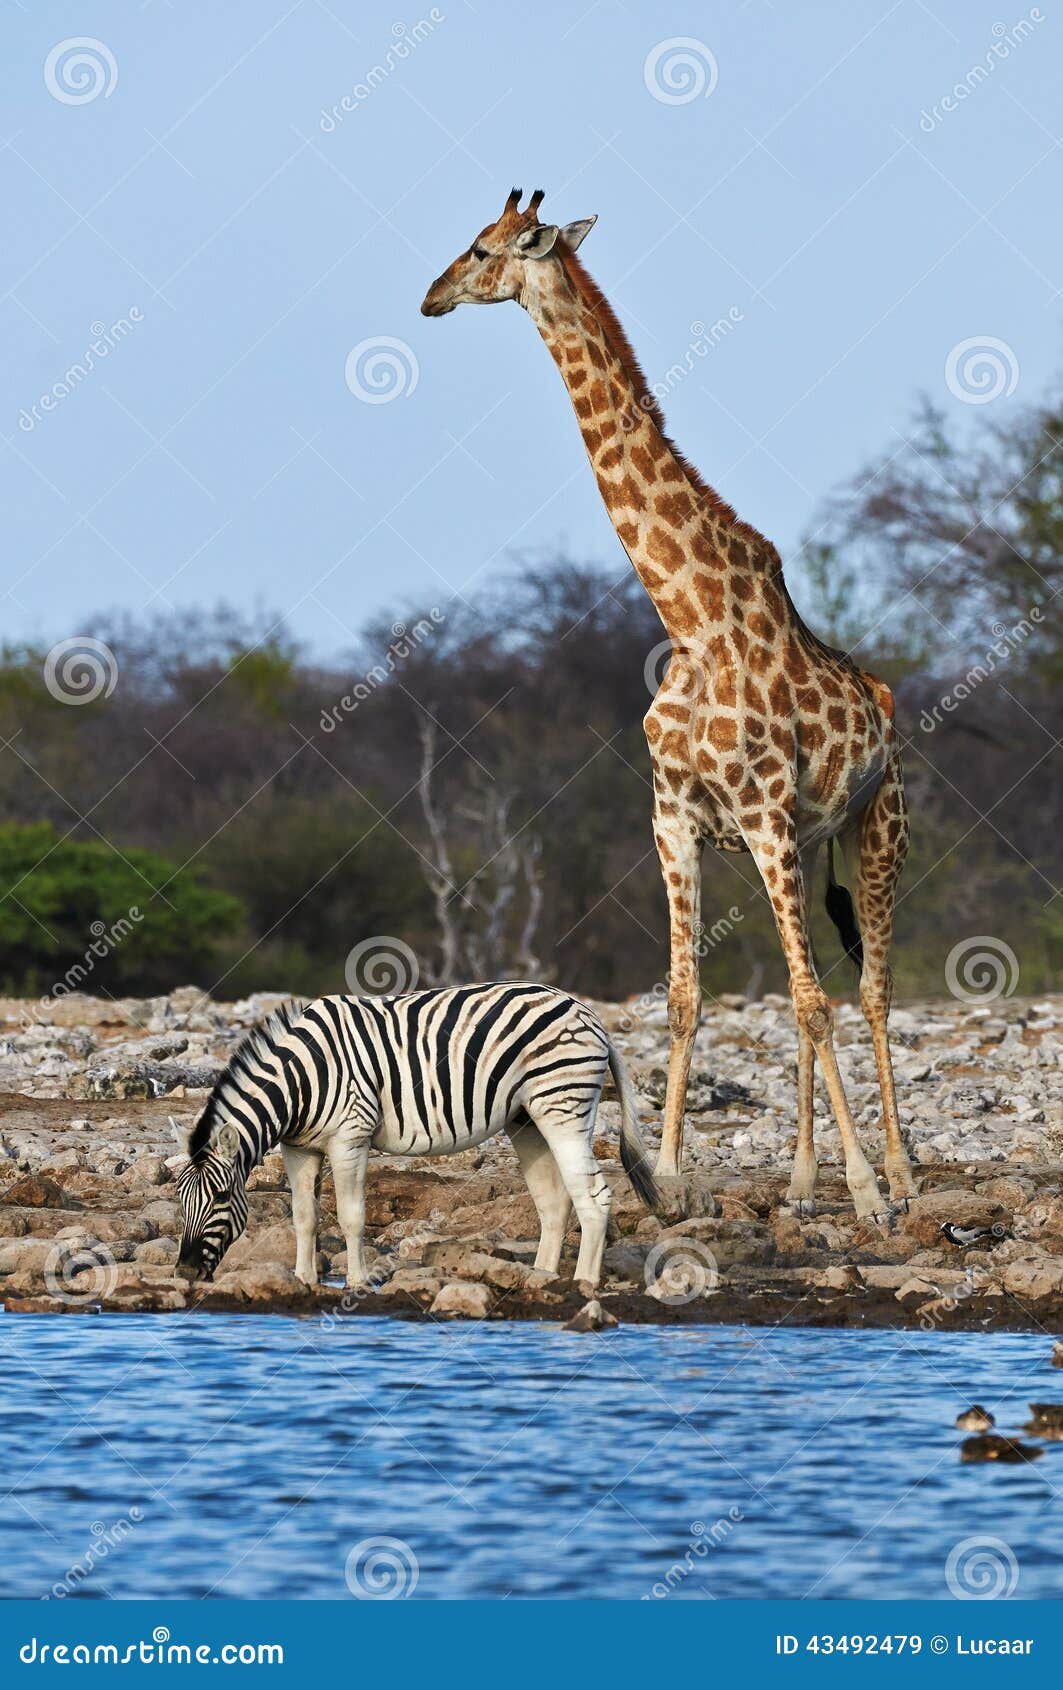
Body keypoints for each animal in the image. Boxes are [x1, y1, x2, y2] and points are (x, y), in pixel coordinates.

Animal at [173, 983, 659, 1290]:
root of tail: (585, 1009)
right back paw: (540, 1278)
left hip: (563, 1105)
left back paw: (585, 1283)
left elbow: (351, 1215)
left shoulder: (351, 1136)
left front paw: (356, 1281)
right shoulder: (299, 1148)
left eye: (221, 1198)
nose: (184, 1274)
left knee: (593, 1196)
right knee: (555, 1202)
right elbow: (304, 1217)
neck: (301, 1081)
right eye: (181, 1201)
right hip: (525, 1119)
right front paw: (302, 1279)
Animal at [421, 189, 918, 1222]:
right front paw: (671, 1176)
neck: (688, 616)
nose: (430, 296)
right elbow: (689, 997)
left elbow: (813, 1002)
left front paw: (862, 1189)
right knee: (812, 986)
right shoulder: (675, 817)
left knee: (868, 991)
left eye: (484, 248)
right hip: (807, 844)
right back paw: (801, 1177)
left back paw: (893, 1174)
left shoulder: (760, 812)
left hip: (875, 829)